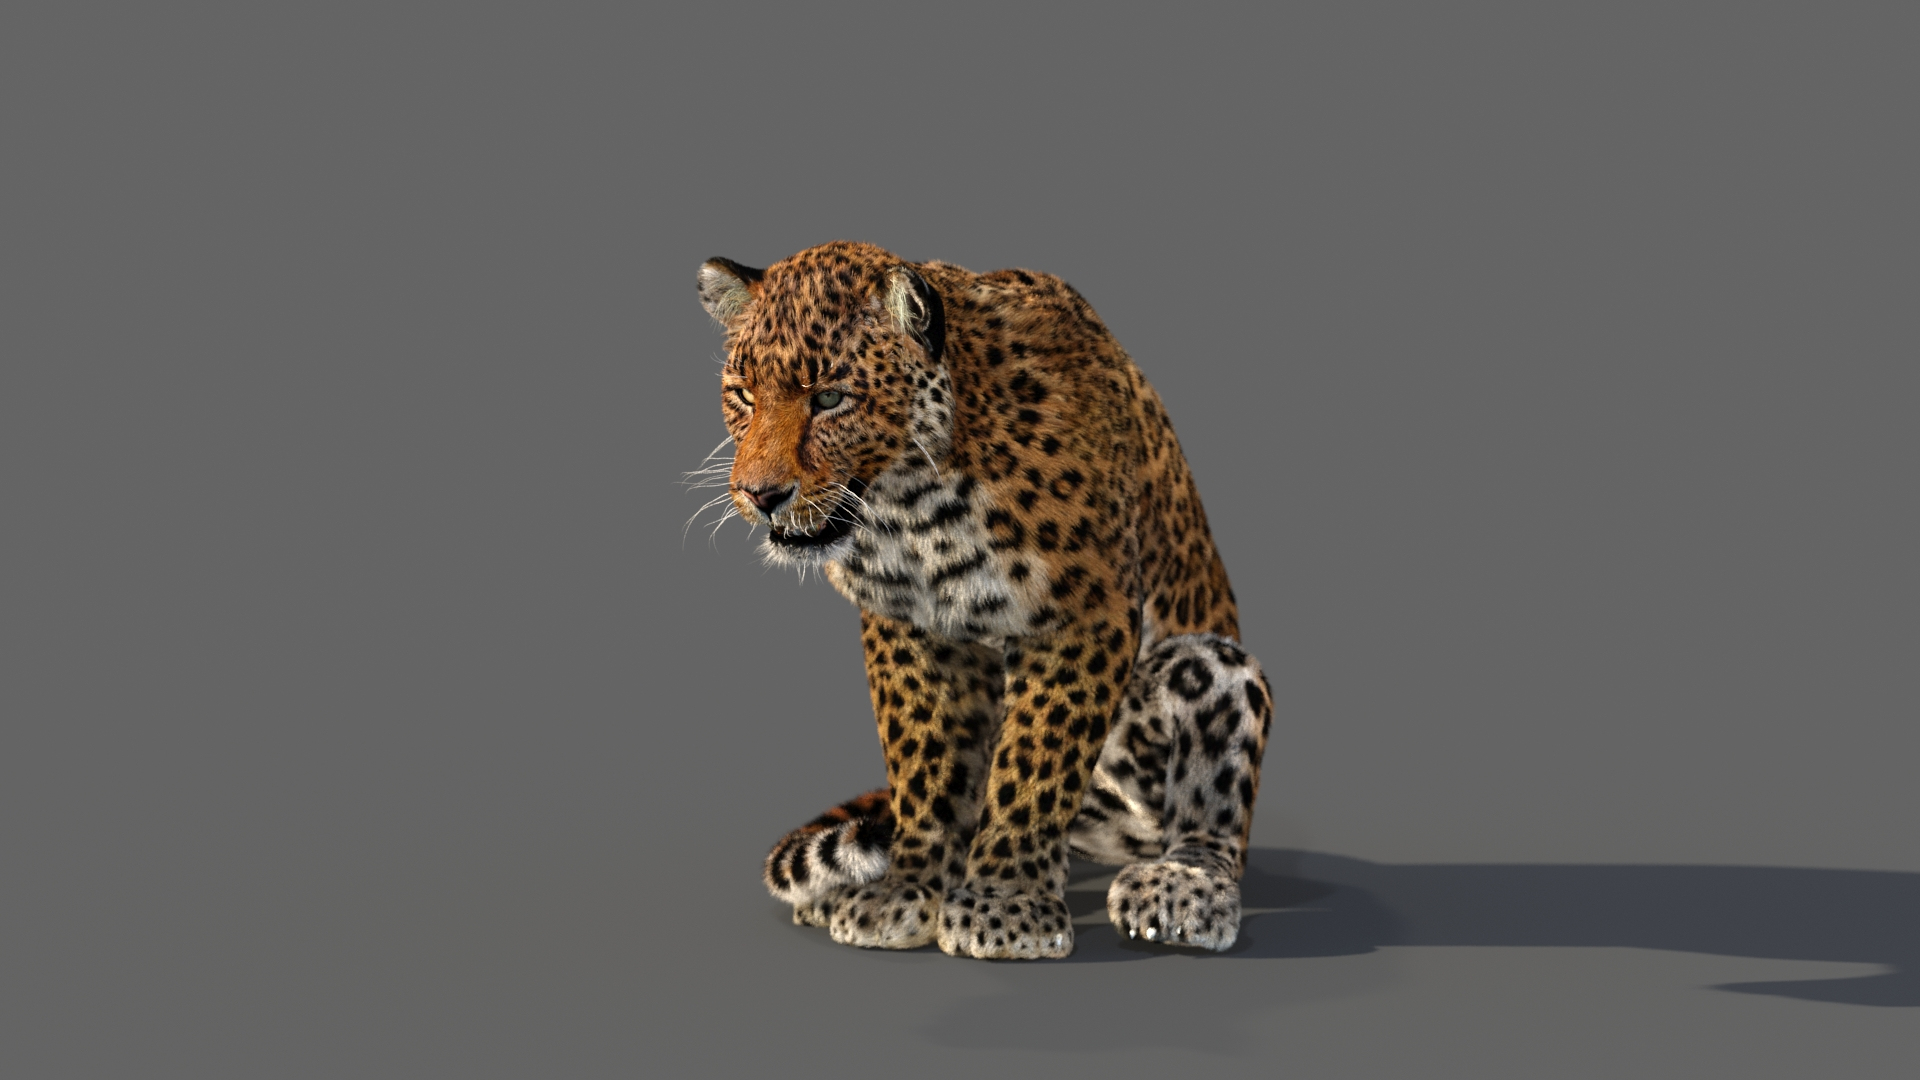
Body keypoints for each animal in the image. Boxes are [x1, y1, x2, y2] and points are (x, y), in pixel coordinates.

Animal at [692, 241, 1272, 959]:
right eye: (744, 395)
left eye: (829, 397)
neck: (913, 508)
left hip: (1211, 666)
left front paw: (1006, 904)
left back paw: (1181, 887)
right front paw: (907, 890)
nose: (758, 494)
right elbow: (925, 763)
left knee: (1209, 808)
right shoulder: (907, 625)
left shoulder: (1086, 613)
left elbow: (1037, 757)